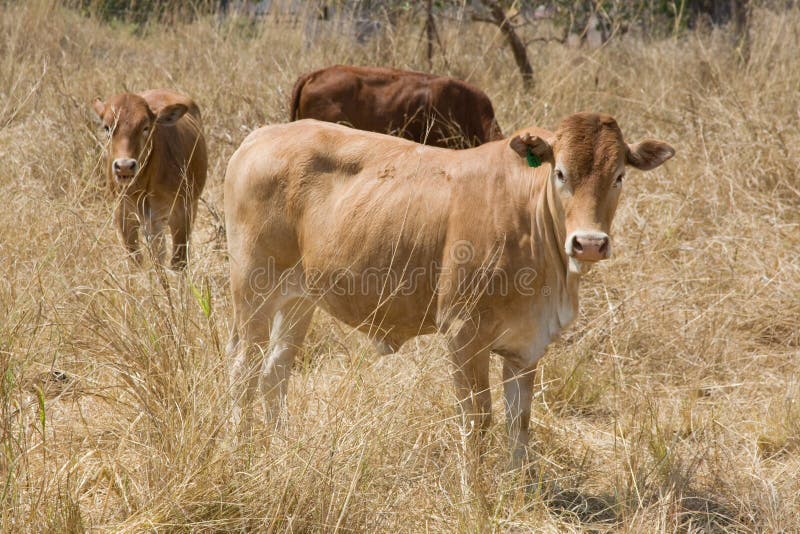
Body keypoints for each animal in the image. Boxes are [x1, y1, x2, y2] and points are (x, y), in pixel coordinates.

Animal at [92, 89, 208, 270]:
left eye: (145, 127)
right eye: (107, 127)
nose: (124, 166)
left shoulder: (181, 214)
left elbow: (178, 261)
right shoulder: (124, 216)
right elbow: (136, 260)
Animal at [224, 113, 674, 468]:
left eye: (619, 176)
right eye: (560, 173)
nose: (590, 243)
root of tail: (262, 135)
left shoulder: (527, 347)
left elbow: (519, 423)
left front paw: (517, 492)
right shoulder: (463, 336)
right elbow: (476, 420)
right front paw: (477, 499)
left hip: (300, 300)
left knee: (275, 373)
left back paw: (281, 449)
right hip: (253, 292)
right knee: (243, 372)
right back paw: (241, 451)